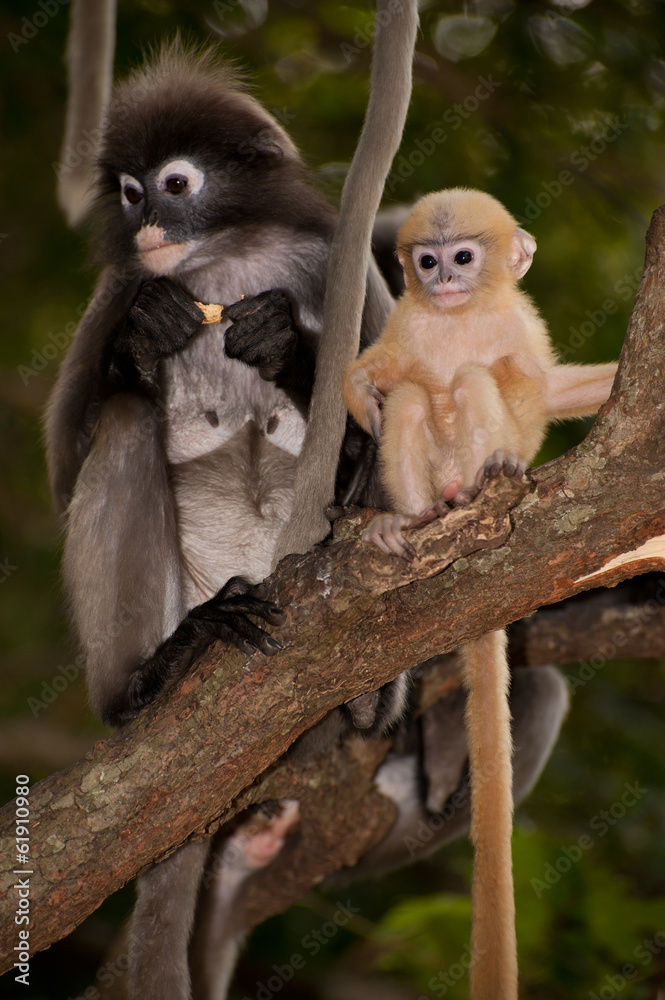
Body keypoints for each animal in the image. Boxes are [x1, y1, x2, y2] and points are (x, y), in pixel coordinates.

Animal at [343, 188, 618, 999]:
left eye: (462, 257)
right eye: (427, 261)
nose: (442, 280)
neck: (455, 319)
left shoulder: (516, 329)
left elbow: (536, 385)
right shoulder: (405, 325)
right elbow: (373, 377)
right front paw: (361, 399)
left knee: (469, 383)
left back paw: (479, 481)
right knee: (411, 397)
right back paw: (407, 524)